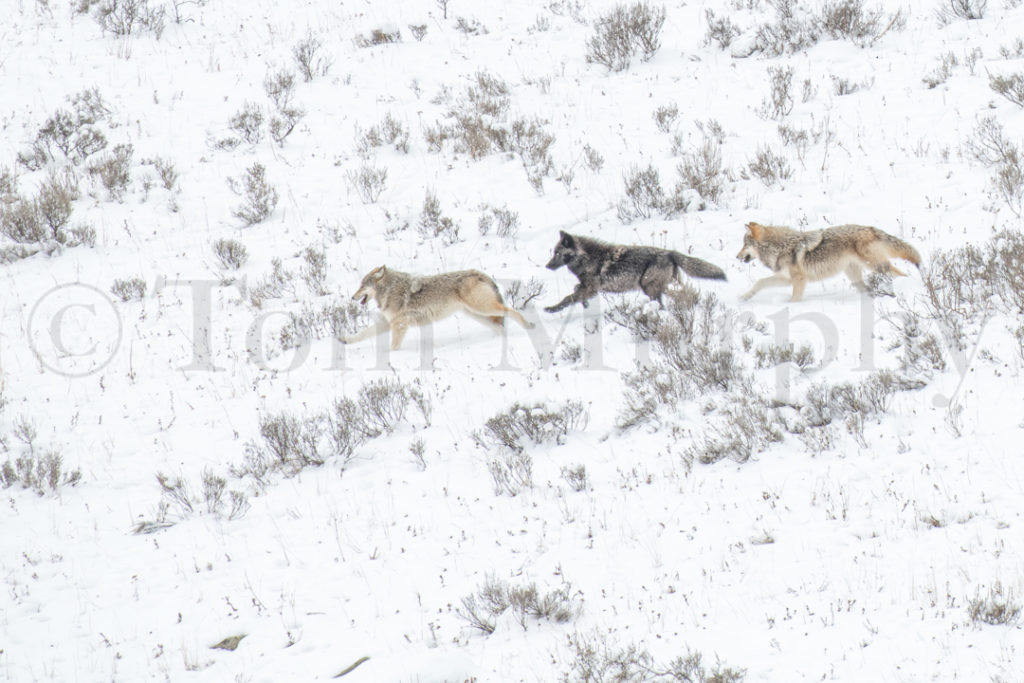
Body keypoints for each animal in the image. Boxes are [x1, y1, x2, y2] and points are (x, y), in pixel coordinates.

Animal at [343, 266, 534, 350]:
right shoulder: (387, 323)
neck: (389, 289)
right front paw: (344, 340)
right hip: (477, 314)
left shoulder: (400, 324)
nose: (352, 297)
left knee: (512, 312)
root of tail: (481, 273)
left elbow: (394, 346)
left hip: (483, 308)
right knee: (500, 327)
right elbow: (361, 334)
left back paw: (528, 325)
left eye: (362, 286)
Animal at [543, 231, 727, 312]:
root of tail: (670, 253)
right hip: (661, 287)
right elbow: (575, 292)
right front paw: (585, 304)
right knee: (684, 294)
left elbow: (568, 298)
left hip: (648, 287)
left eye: (557, 253)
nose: (547, 266)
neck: (587, 258)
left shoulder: (590, 288)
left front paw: (551, 309)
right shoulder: (587, 288)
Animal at [736, 221, 921, 302]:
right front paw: (744, 297)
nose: (737, 257)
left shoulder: (799, 280)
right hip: (854, 275)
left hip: (876, 267)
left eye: (744, 245)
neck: (781, 246)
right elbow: (760, 283)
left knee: (901, 274)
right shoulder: (786, 278)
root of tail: (870, 228)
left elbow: (795, 299)